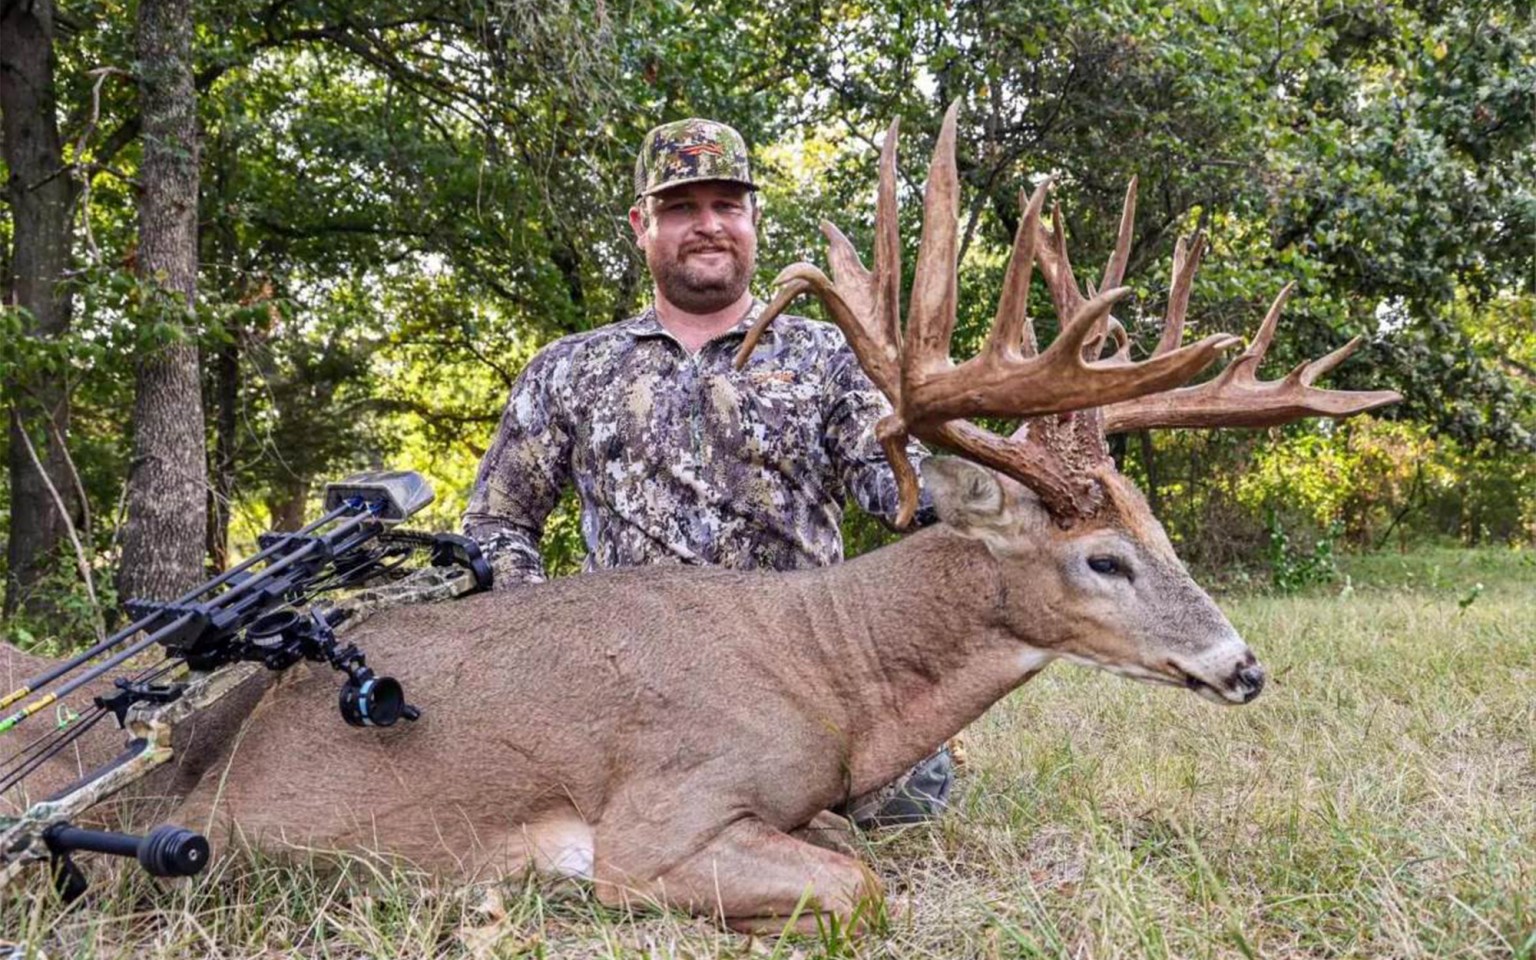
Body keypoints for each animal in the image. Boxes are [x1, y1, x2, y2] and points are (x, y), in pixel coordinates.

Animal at [1, 103, 1399, 934]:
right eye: (1101, 556)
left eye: (1157, 529)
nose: (1243, 665)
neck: (827, 673)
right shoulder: (661, 814)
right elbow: (861, 885)